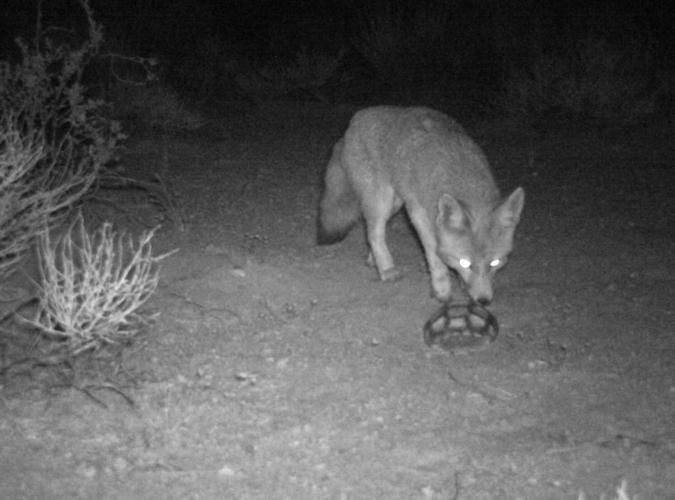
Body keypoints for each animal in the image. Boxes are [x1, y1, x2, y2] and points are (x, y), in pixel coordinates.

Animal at [317, 106, 525, 305]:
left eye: (495, 263)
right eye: (465, 262)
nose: (483, 301)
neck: (463, 177)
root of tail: (356, 118)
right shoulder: (418, 214)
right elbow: (435, 257)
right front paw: (442, 290)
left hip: (394, 204)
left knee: (372, 232)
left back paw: (374, 261)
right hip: (383, 201)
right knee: (374, 234)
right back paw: (387, 270)